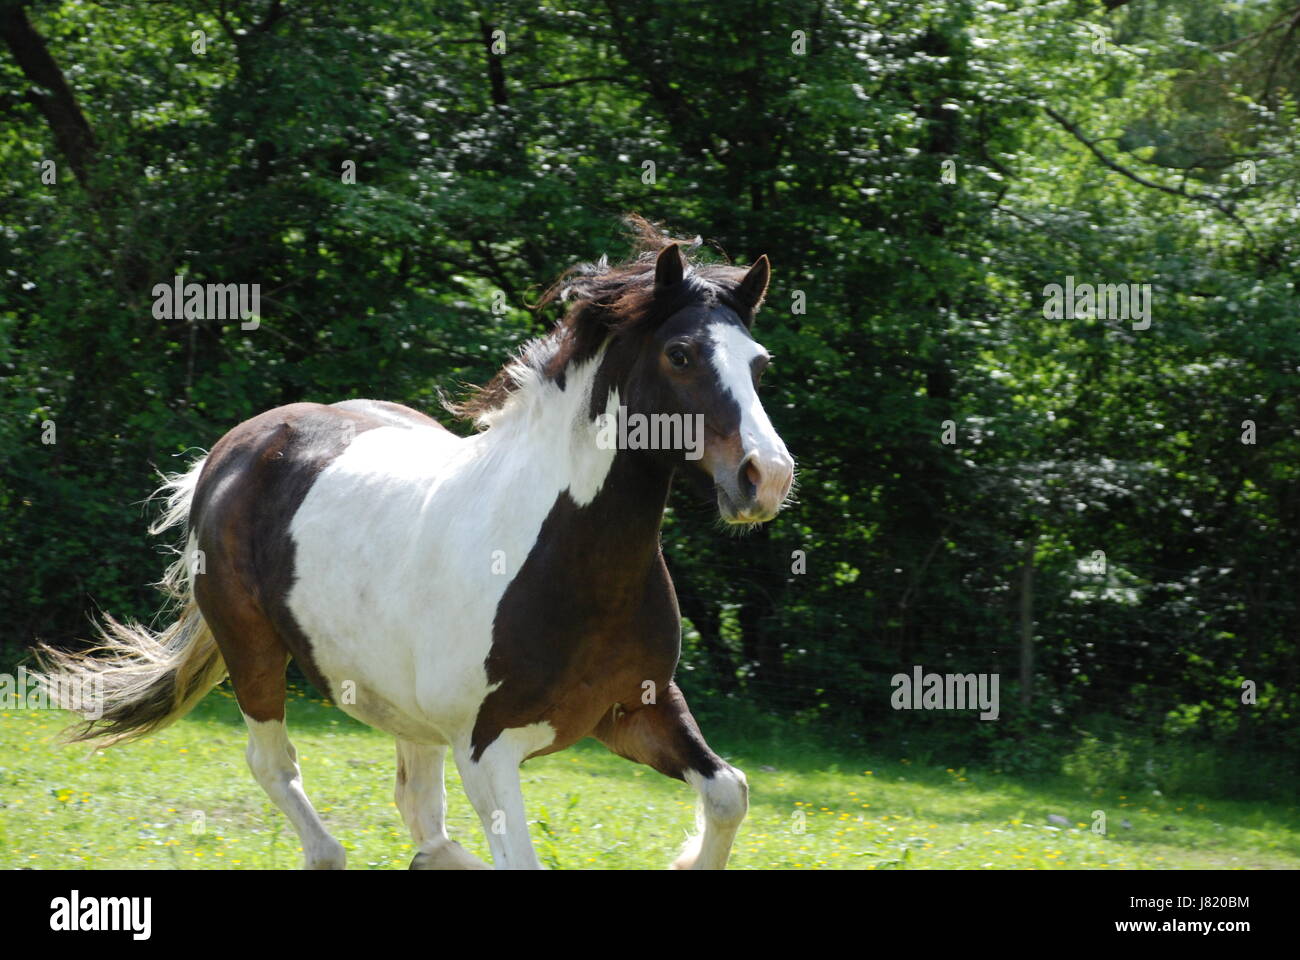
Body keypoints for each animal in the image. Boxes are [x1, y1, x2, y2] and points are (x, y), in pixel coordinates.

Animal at [35, 225, 796, 870]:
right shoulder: (487, 750)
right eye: (681, 354)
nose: (766, 477)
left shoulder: (638, 709)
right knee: (281, 774)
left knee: (419, 814)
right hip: (253, 652)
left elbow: (730, 791)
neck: (572, 563)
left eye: (760, 363)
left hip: (406, 710)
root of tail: (232, 451)